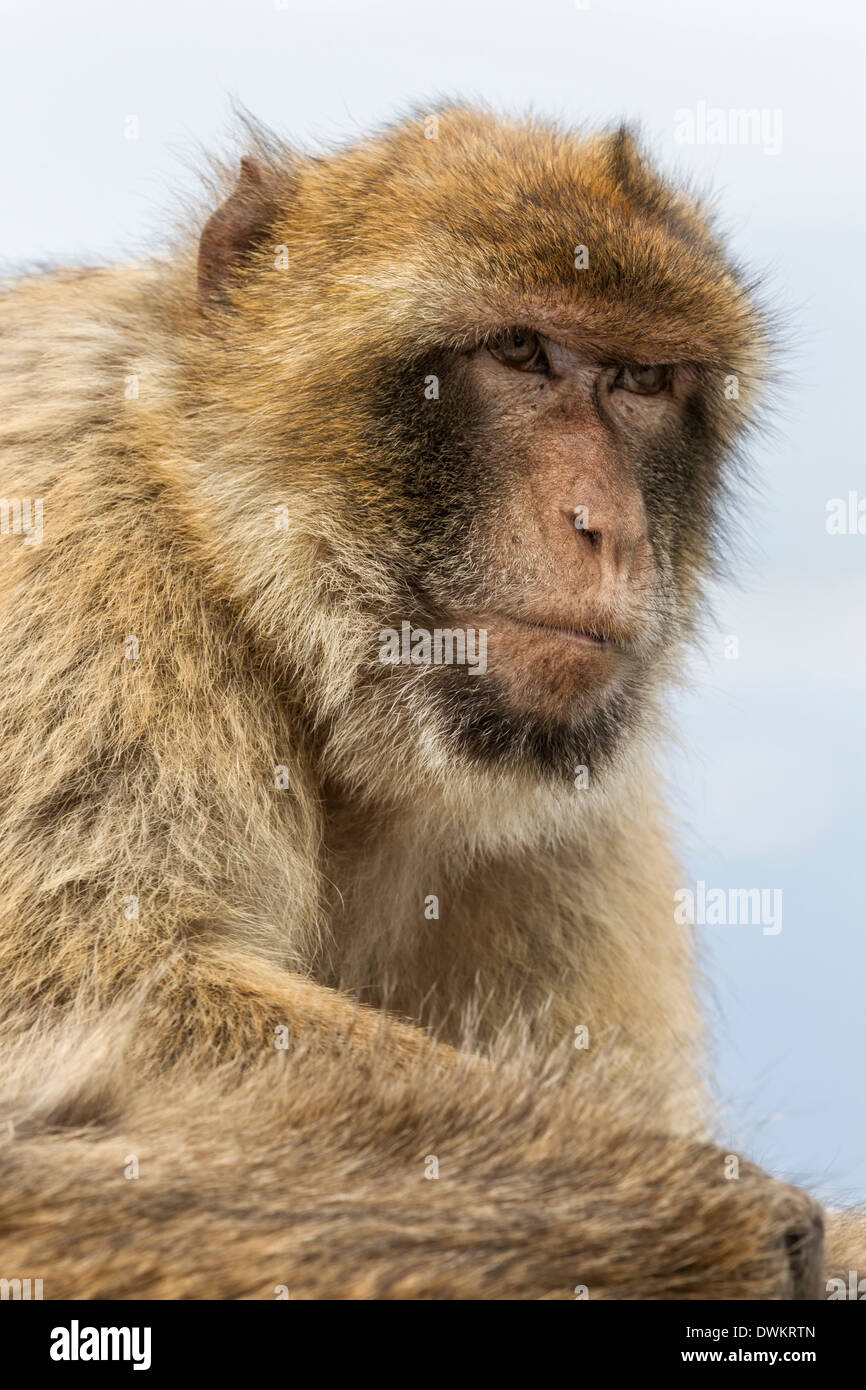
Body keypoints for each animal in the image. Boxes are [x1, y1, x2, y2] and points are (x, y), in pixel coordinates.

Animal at [0, 104, 859, 1300]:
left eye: (643, 381)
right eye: (518, 352)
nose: (606, 526)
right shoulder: (70, 552)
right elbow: (101, 1005)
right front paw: (735, 1226)